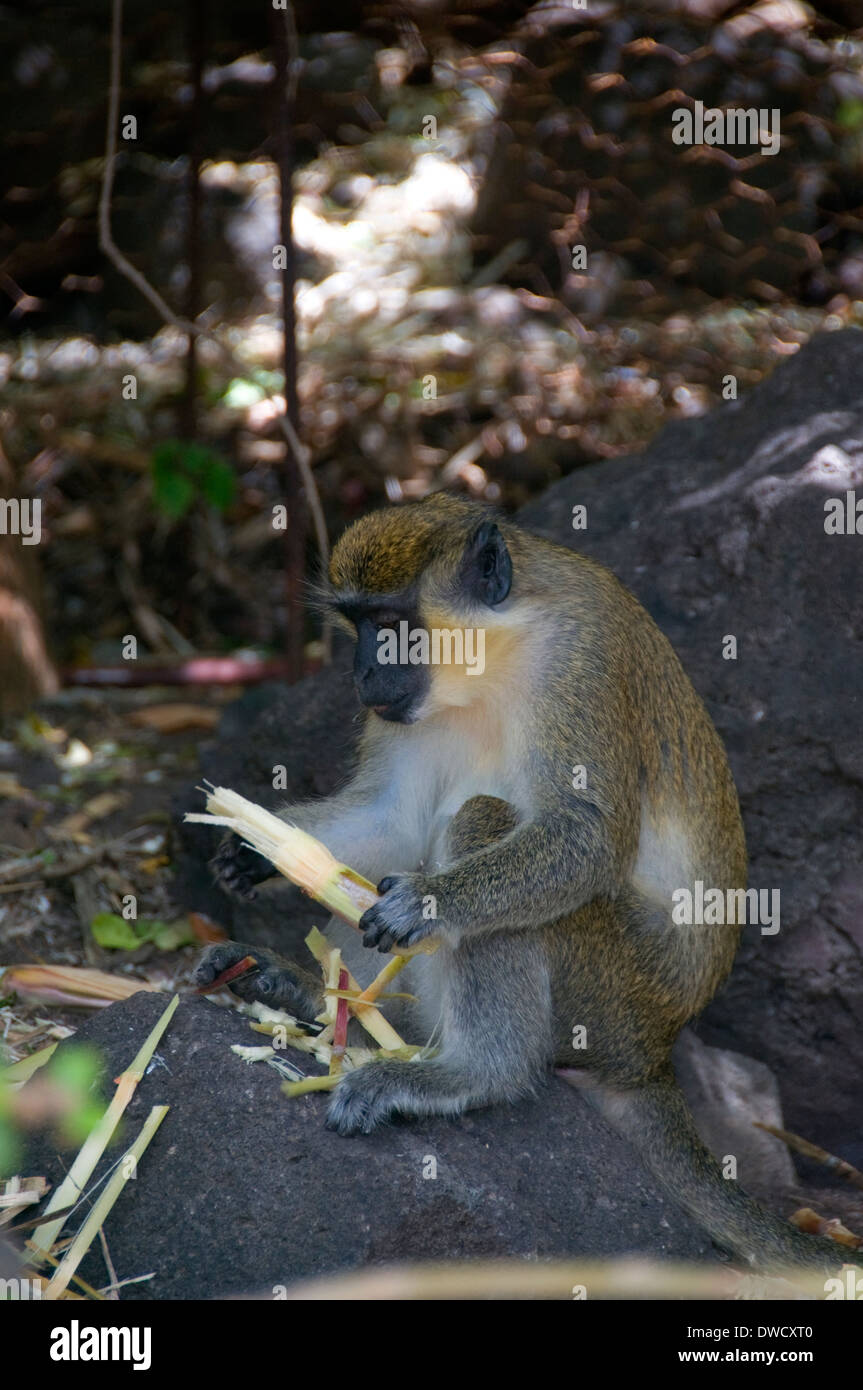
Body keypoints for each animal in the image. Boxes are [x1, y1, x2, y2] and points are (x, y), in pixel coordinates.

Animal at [196, 492, 850, 1274]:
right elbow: (392, 817)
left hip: (612, 991)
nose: (361, 676)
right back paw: (308, 992)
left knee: (482, 822)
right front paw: (253, 850)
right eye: (357, 624)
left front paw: (429, 903)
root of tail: (652, 1053)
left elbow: (584, 838)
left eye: (392, 625)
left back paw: (473, 1074)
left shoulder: (579, 665)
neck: (499, 651)